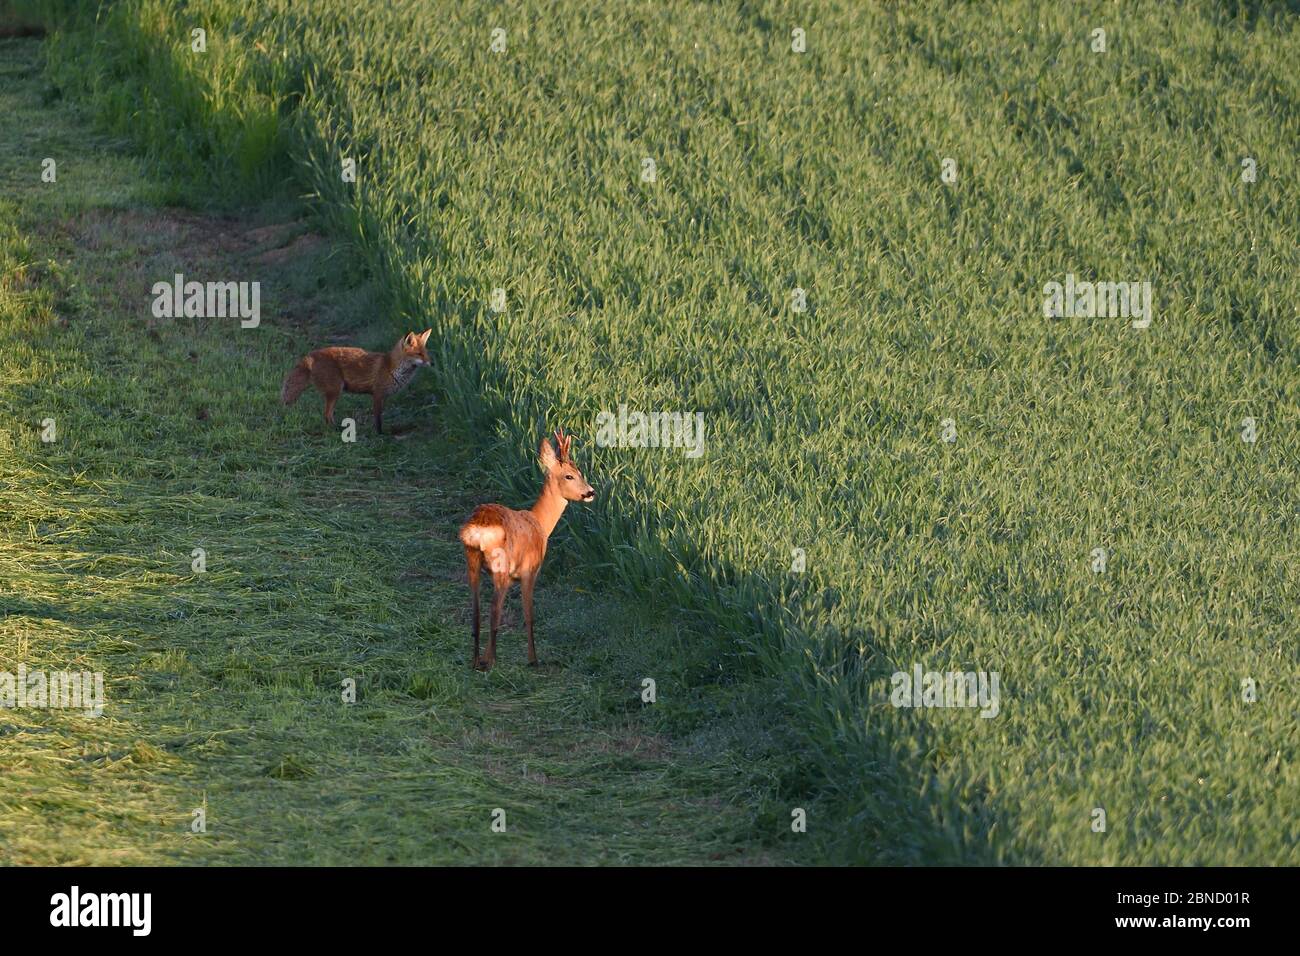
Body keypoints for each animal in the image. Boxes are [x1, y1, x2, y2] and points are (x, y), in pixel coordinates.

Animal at [281, 330, 432, 433]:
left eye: (426, 353)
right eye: (419, 354)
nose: (432, 363)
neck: (391, 368)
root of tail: (310, 355)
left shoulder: (384, 397)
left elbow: (380, 416)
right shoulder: (377, 394)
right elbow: (378, 418)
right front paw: (380, 434)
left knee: (327, 415)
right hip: (335, 391)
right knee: (327, 414)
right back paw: (336, 431)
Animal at [458, 428, 596, 670]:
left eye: (580, 472)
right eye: (569, 475)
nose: (591, 492)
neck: (540, 524)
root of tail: (478, 528)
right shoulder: (530, 570)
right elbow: (529, 614)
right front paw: (533, 659)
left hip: (471, 559)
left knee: (476, 611)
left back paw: (476, 661)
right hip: (501, 565)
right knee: (494, 609)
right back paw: (491, 661)